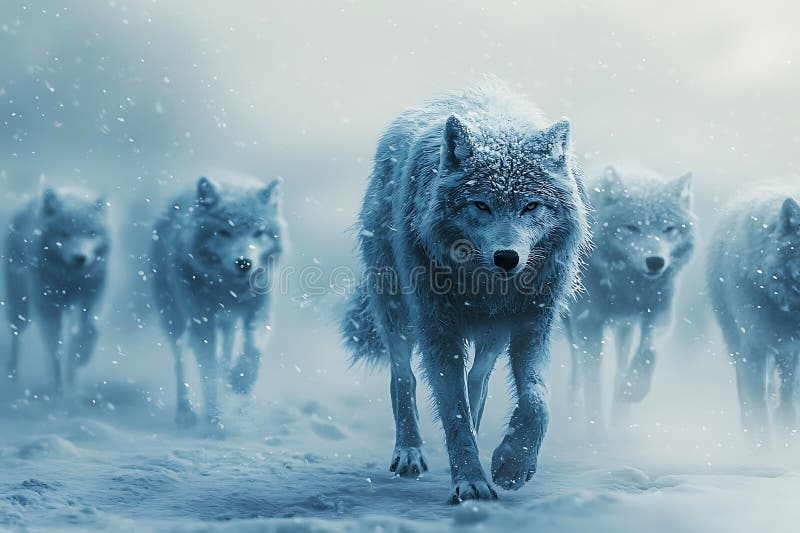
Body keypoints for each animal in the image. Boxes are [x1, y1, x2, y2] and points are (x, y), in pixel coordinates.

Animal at [5, 189, 110, 391]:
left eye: (91, 233)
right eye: (65, 234)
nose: (80, 258)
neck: (69, 279)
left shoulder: (92, 296)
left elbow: (90, 330)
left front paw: (81, 356)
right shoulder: (47, 307)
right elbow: (54, 348)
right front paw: (58, 385)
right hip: (21, 308)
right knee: (16, 335)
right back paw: (11, 376)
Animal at [150, 176, 284, 429]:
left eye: (259, 231)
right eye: (224, 231)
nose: (244, 263)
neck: (230, 290)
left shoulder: (260, 310)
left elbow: (253, 347)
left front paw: (241, 381)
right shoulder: (202, 322)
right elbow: (208, 372)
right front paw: (214, 420)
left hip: (227, 323)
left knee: (225, 356)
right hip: (174, 317)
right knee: (180, 361)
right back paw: (185, 412)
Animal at [341, 80, 590, 502]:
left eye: (530, 206)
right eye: (481, 205)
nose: (507, 258)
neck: (487, 285)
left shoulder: (532, 325)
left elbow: (537, 401)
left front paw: (511, 465)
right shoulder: (438, 331)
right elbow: (452, 410)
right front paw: (472, 482)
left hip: (492, 334)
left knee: (478, 380)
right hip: (396, 310)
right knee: (403, 376)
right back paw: (409, 451)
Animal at [564, 165, 695, 435]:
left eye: (669, 229)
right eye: (632, 228)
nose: (655, 261)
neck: (629, 286)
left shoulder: (659, 312)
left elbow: (648, 352)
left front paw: (633, 389)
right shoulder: (588, 321)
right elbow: (592, 379)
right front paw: (595, 430)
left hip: (625, 327)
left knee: (620, 366)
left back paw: (621, 417)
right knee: (576, 374)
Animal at [707, 185, 800, 448]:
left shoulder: (792, 349)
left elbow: (788, 394)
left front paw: (787, 436)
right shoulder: (754, 347)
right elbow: (758, 403)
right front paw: (762, 448)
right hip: (736, 343)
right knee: (746, 388)